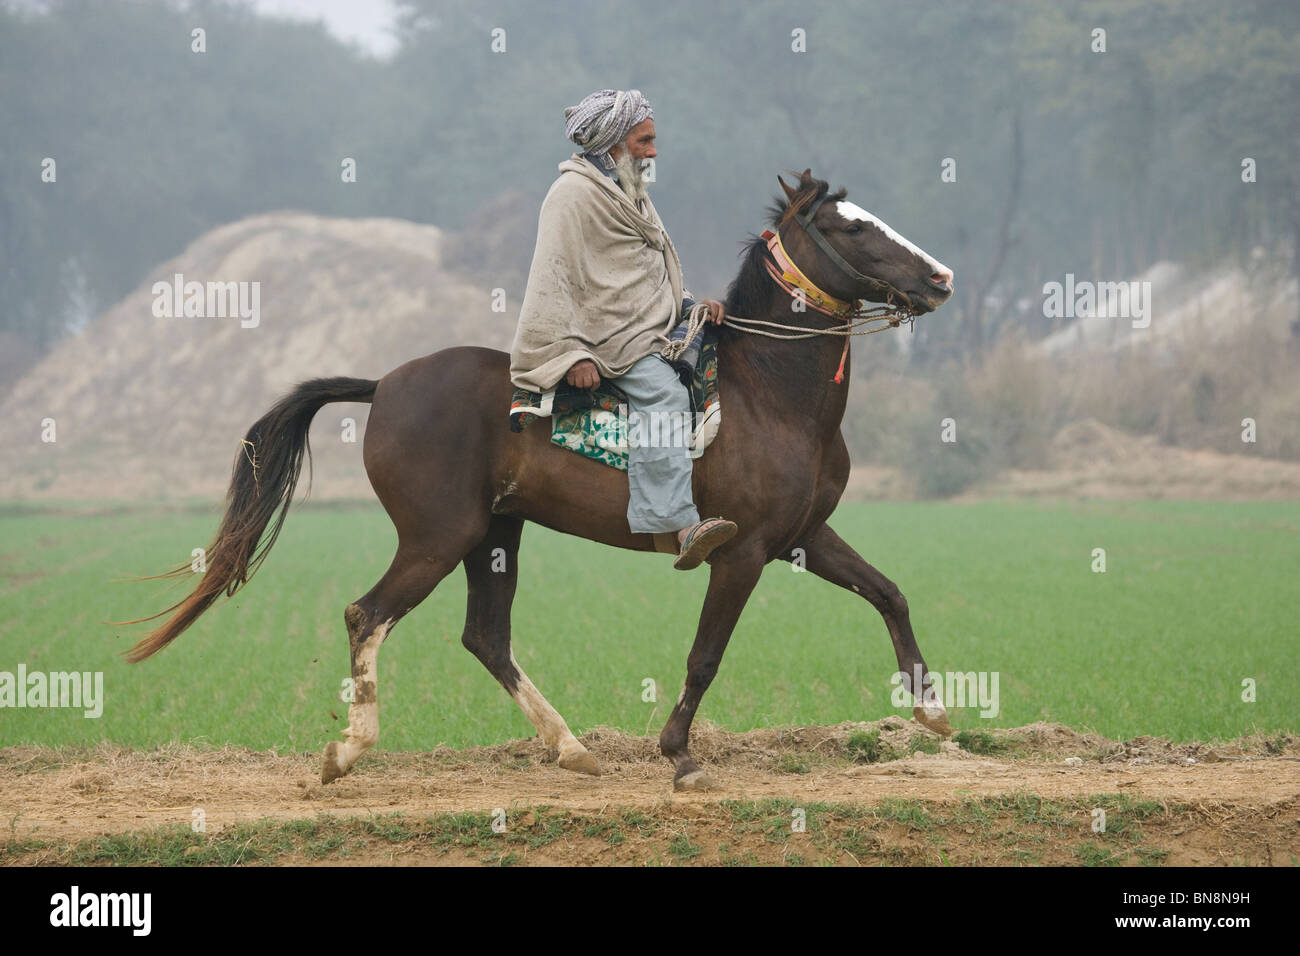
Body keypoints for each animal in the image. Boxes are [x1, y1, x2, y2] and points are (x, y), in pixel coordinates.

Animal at [121, 168, 956, 791]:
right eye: (852, 228)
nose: (941, 277)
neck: (770, 393)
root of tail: (384, 383)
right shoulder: (741, 551)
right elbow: (705, 655)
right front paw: (679, 754)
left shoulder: (802, 534)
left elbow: (891, 593)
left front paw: (933, 712)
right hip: (440, 534)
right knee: (368, 614)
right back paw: (350, 749)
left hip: (495, 532)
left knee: (485, 636)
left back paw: (572, 747)